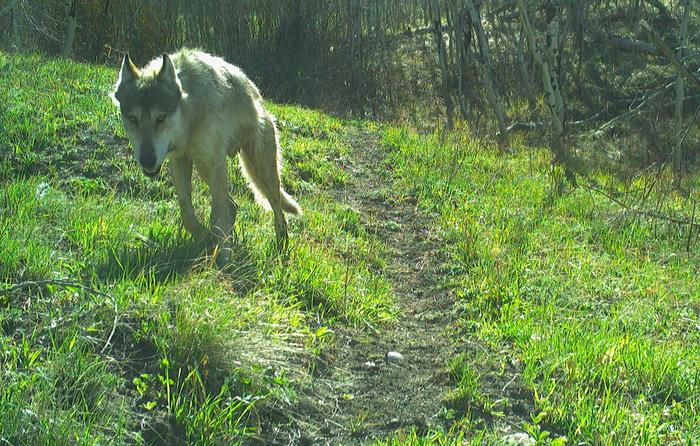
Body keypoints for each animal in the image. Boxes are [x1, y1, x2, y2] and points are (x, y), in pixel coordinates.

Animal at [111, 48, 301, 248]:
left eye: (161, 118)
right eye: (133, 119)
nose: (147, 160)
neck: (189, 120)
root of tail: (257, 94)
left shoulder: (215, 163)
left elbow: (217, 214)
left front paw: (220, 252)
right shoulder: (179, 161)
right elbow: (187, 214)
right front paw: (206, 238)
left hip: (261, 172)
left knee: (278, 210)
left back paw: (281, 248)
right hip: (204, 169)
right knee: (232, 206)